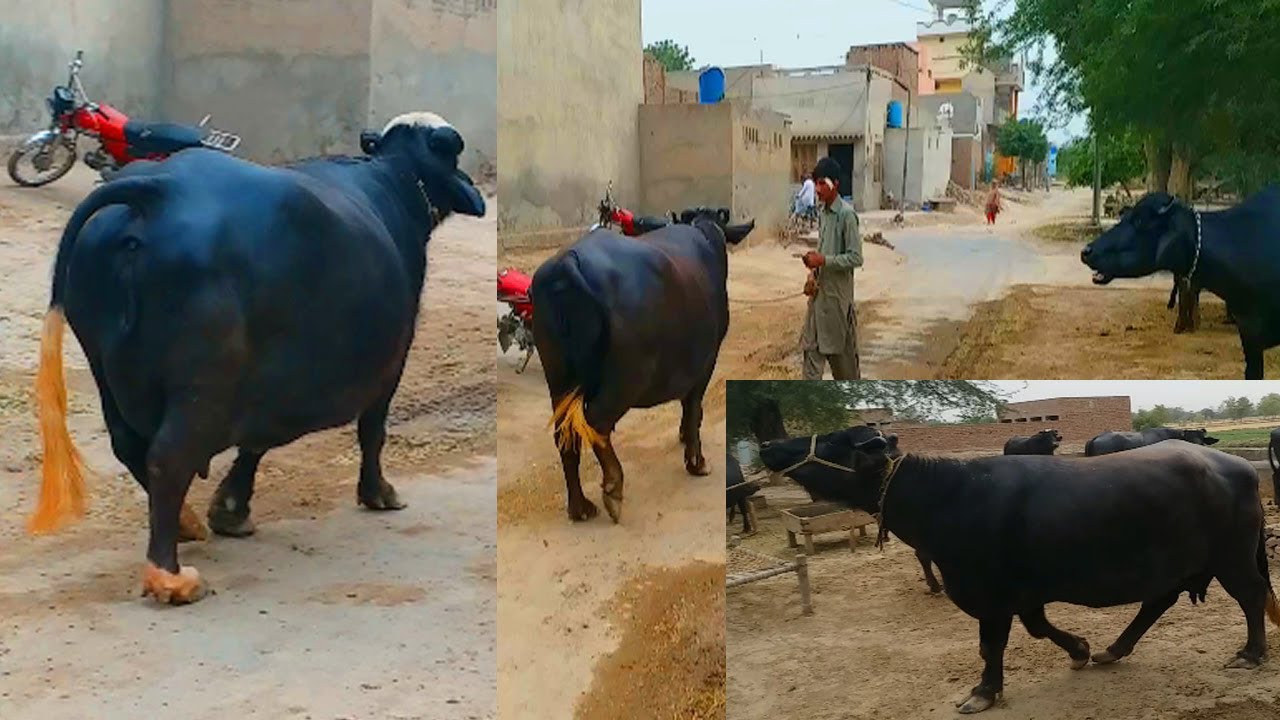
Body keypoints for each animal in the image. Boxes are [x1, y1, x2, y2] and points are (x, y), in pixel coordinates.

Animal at [30, 112, 485, 604]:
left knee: (129, 445)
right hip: (204, 383)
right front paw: (379, 493)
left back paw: (187, 524)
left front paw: (229, 510)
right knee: (168, 456)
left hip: (104, 365)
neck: (394, 181)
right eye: (450, 152)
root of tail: (157, 192)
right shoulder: (388, 365)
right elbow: (371, 431)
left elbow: (254, 443)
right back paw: (170, 576)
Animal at [533, 215, 753, 522]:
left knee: (565, 432)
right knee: (596, 421)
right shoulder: (706, 363)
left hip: (560, 378)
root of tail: (567, 263)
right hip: (627, 377)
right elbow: (694, 408)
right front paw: (697, 463)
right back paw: (613, 489)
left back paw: (580, 507)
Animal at [760, 425, 1279, 714]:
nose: (767, 445)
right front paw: (1080, 648)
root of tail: (1236, 466)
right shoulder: (1023, 592)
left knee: (1251, 595)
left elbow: (992, 645)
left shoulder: (991, 594)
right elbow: (1037, 627)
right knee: (1159, 600)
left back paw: (1250, 654)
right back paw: (1112, 649)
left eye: (832, 440)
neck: (947, 497)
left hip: (1232, 556)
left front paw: (983, 692)